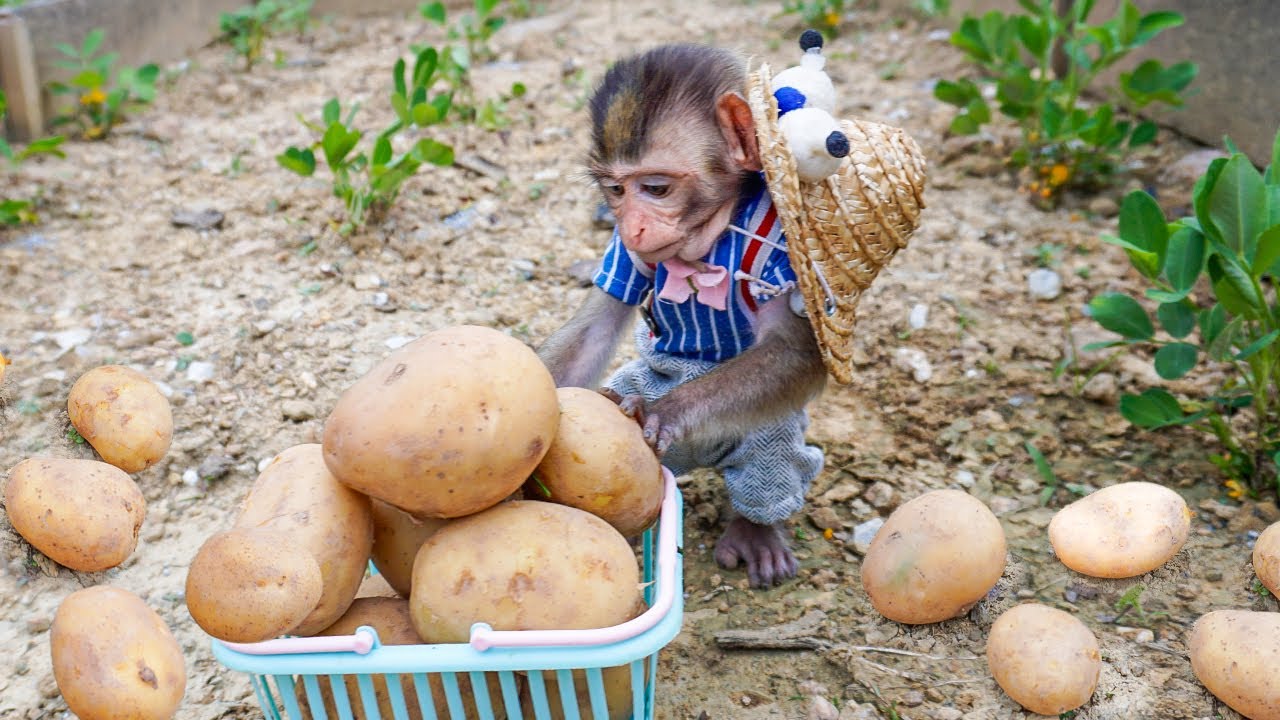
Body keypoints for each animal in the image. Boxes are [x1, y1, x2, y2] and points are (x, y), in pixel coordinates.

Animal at [536, 43, 828, 588]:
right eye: (616, 191)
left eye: (655, 188)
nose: (632, 224)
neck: (706, 240)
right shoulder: (623, 252)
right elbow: (595, 331)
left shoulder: (784, 245)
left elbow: (794, 352)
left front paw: (663, 412)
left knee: (769, 435)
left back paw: (756, 531)